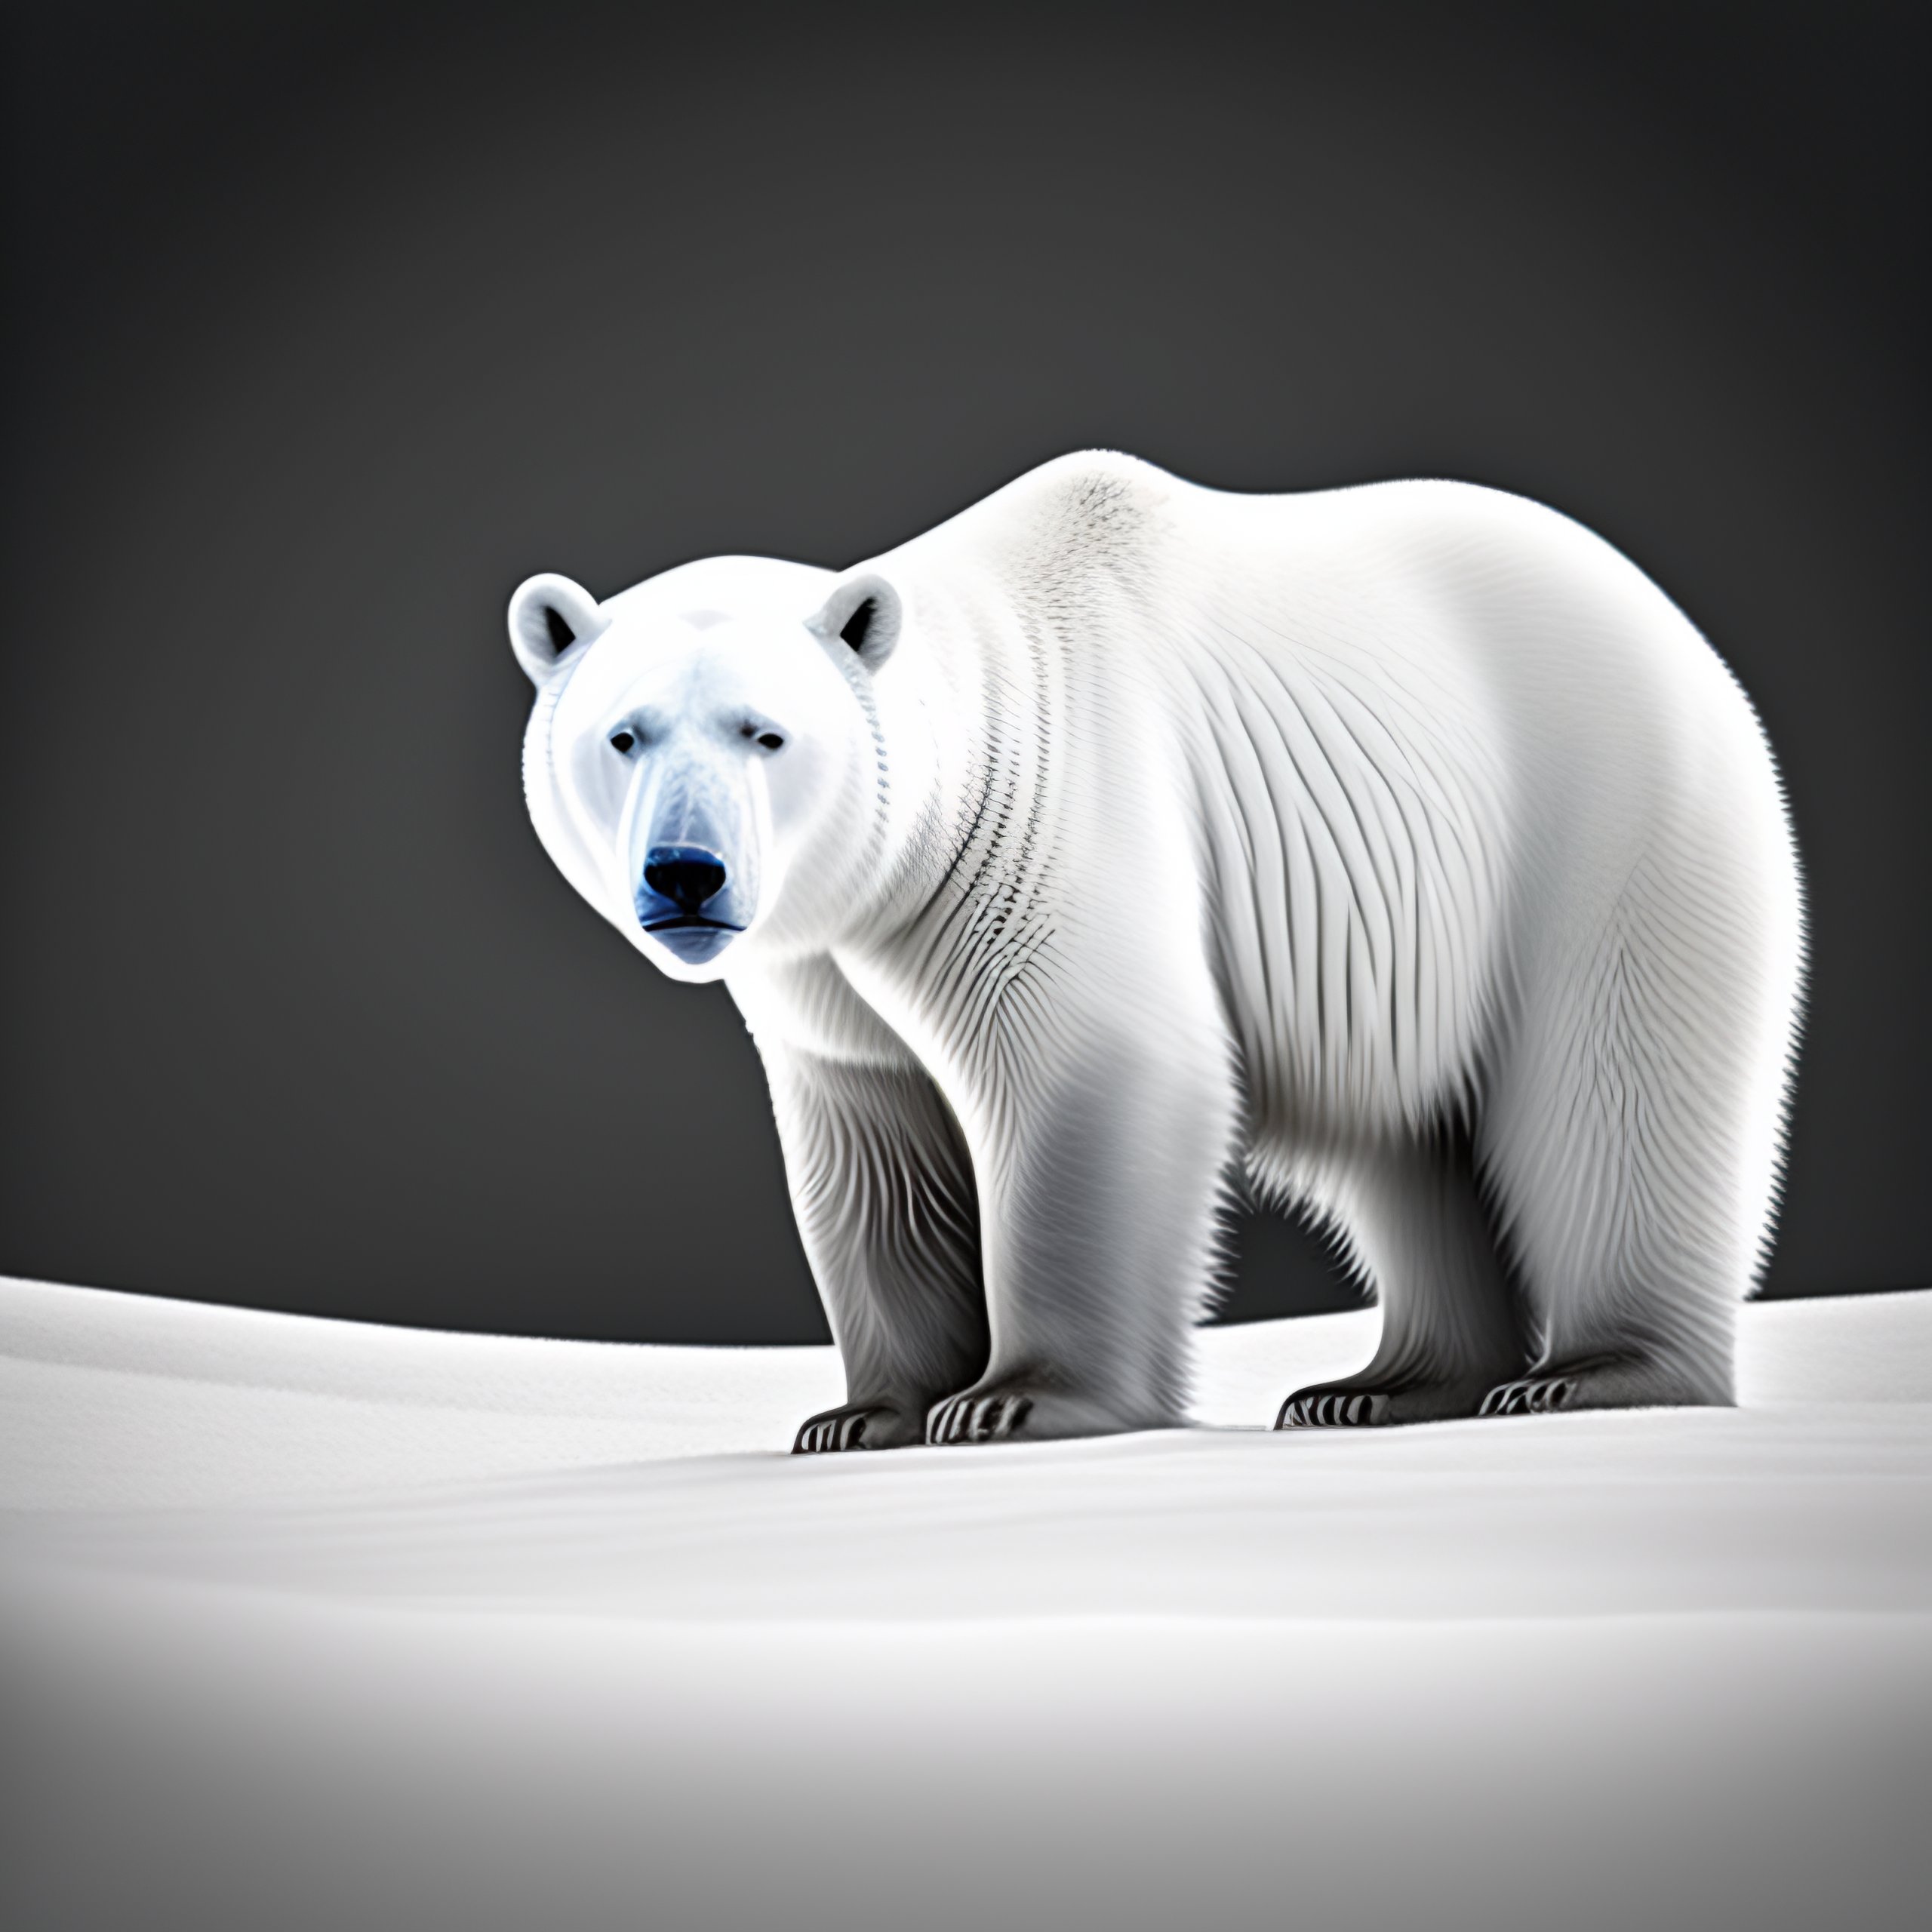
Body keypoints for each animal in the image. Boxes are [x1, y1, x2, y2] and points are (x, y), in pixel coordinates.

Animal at [508, 452, 1805, 1450]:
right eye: (623, 734)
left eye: (765, 733)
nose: (686, 874)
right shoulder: (826, 980)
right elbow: (877, 1157)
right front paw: (862, 1413)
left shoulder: (1051, 821)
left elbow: (1099, 1069)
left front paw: (1014, 1404)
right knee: (1407, 1141)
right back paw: (1377, 1386)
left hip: (1606, 826)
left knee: (1610, 1094)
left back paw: (1592, 1374)